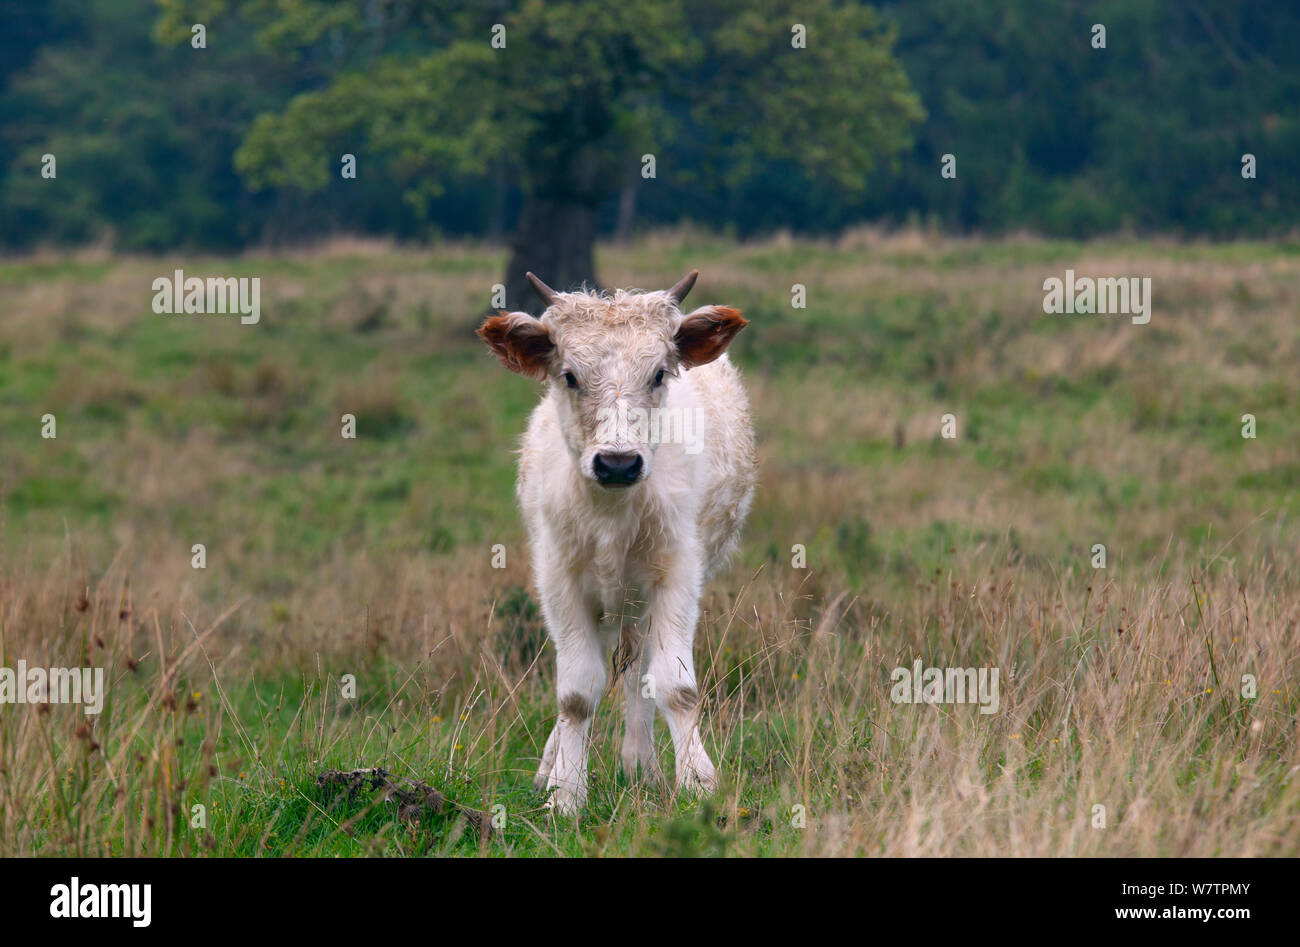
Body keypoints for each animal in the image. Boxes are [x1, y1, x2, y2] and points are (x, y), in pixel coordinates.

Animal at [477, 269, 756, 814]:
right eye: (568, 375)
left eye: (659, 374)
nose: (618, 463)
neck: (612, 512)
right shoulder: (559, 580)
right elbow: (576, 693)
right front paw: (564, 792)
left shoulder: (678, 575)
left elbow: (674, 686)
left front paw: (697, 782)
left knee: (638, 673)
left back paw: (640, 765)